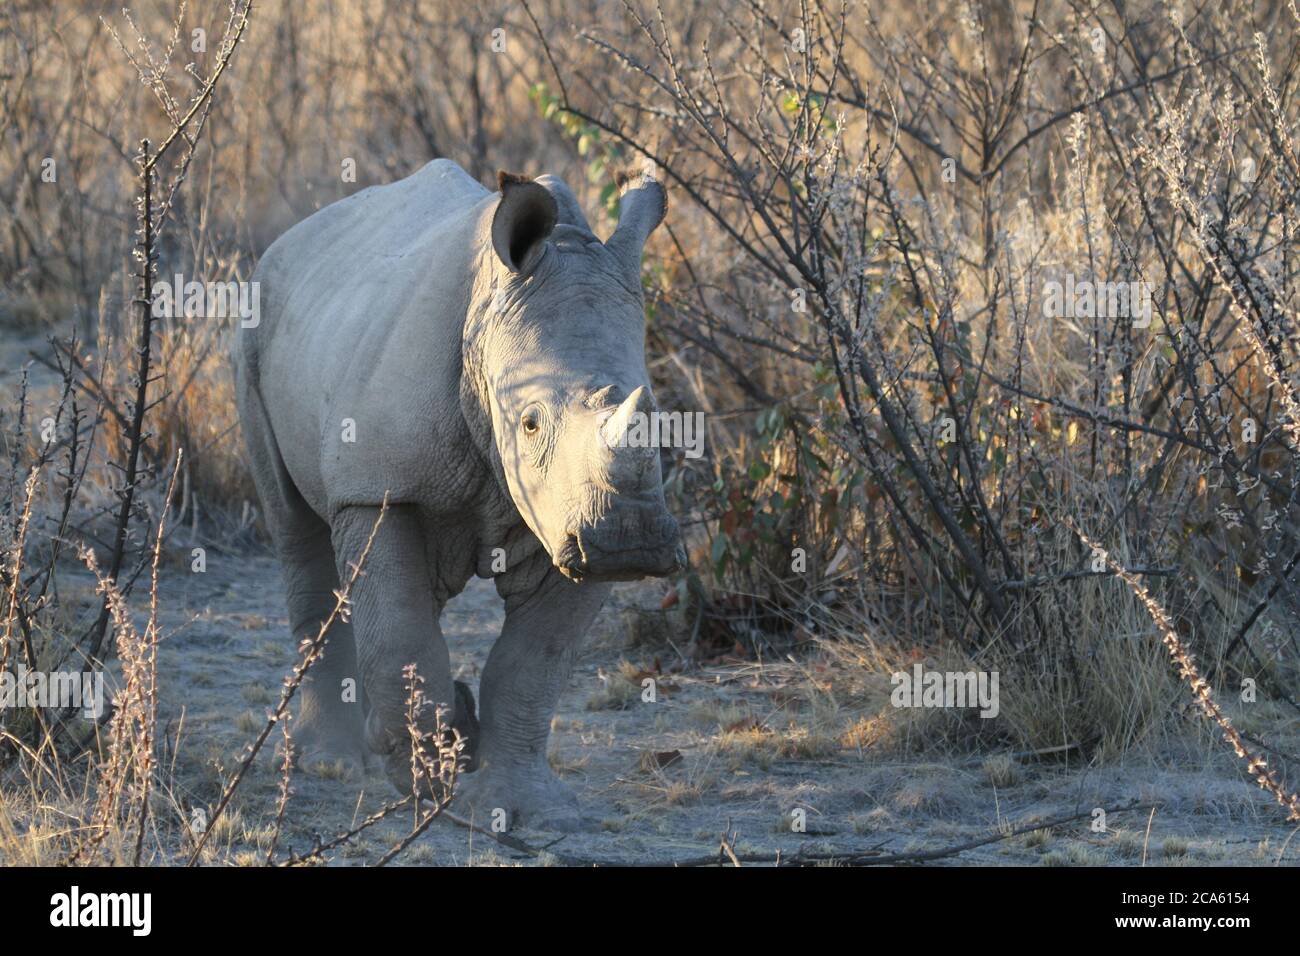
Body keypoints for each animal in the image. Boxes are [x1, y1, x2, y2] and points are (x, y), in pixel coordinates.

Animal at [234, 159, 684, 830]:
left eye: (664, 422)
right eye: (529, 423)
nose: (633, 539)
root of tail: (294, 235)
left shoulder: (573, 522)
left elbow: (532, 665)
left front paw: (528, 810)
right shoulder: (377, 488)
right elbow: (403, 635)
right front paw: (419, 782)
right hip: (255, 328)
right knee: (296, 531)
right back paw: (331, 763)